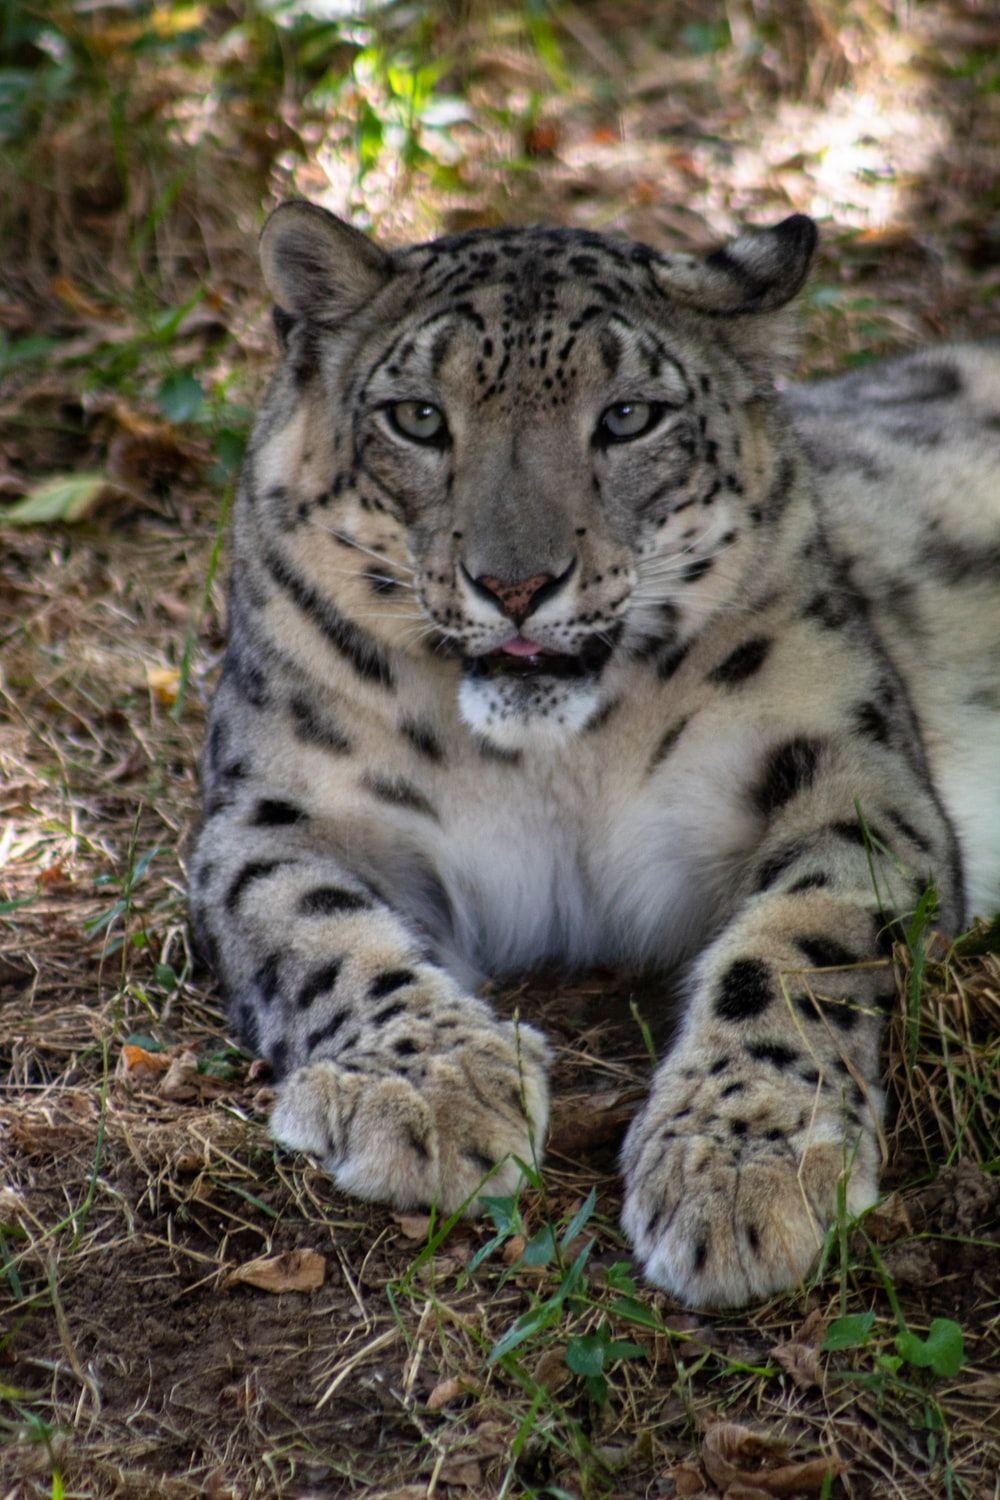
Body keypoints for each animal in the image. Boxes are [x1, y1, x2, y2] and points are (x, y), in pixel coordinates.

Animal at [189, 199, 1000, 1308]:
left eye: (627, 419)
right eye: (418, 418)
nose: (515, 584)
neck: (553, 766)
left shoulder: (846, 767)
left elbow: (802, 941)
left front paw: (740, 1164)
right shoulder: (273, 808)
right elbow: (312, 927)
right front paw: (429, 1089)